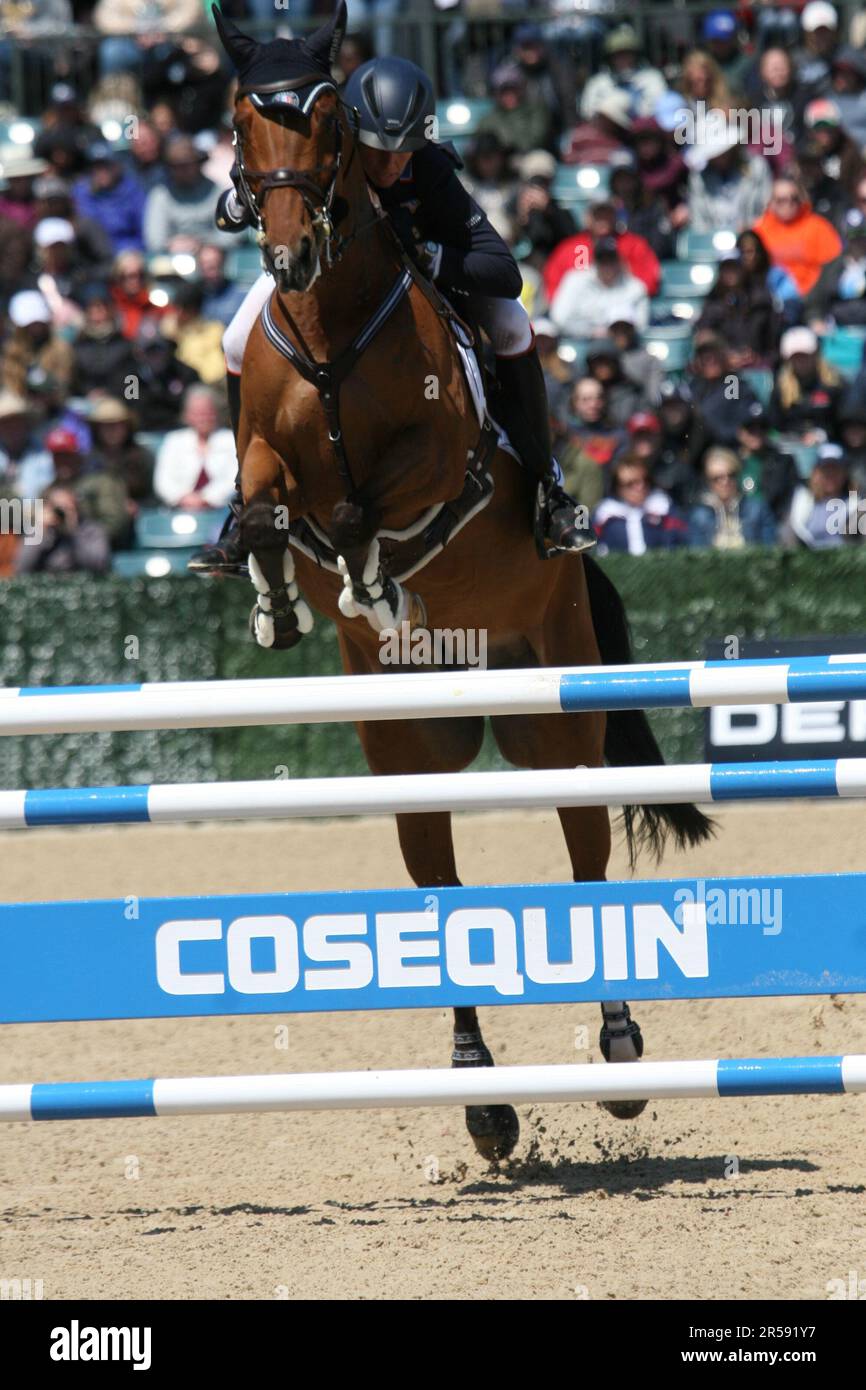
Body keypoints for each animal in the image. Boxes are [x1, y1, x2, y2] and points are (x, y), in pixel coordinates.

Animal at [214, 4, 713, 1160]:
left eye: (325, 121)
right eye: (241, 120)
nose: (288, 254)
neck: (327, 331)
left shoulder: (439, 459)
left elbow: (374, 506)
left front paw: (368, 575)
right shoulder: (261, 446)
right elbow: (264, 504)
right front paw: (277, 594)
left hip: (556, 713)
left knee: (584, 851)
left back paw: (620, 1054)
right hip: (410, 744)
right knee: (434, 879)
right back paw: (482, 1094)